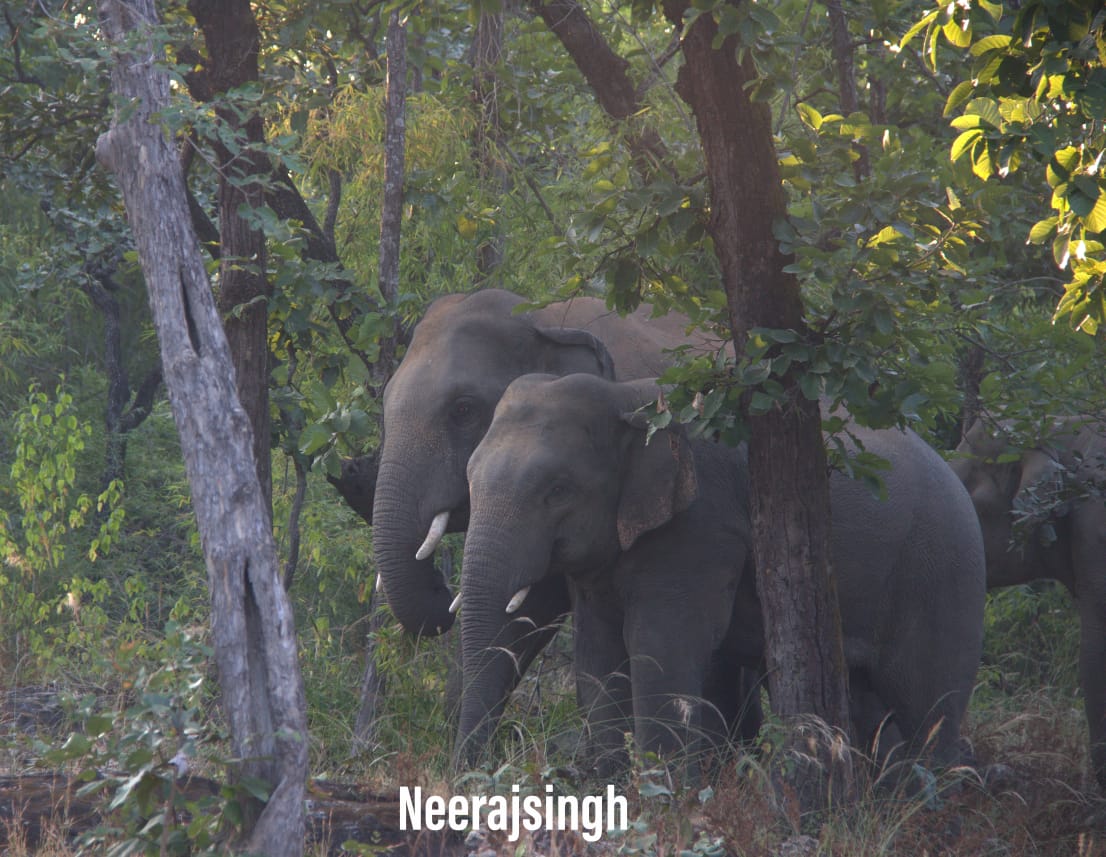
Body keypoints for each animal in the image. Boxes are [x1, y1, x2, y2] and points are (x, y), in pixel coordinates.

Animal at [454, 372, 986, 778]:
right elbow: (598, 650)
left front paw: (662, 796)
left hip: (943, 575)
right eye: (469, 477)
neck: (627, 399)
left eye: (558, 490)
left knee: (927, 707)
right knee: (870, 705)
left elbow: (659, 643)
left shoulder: (701, 528)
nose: (466, 776)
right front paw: (610, 784)